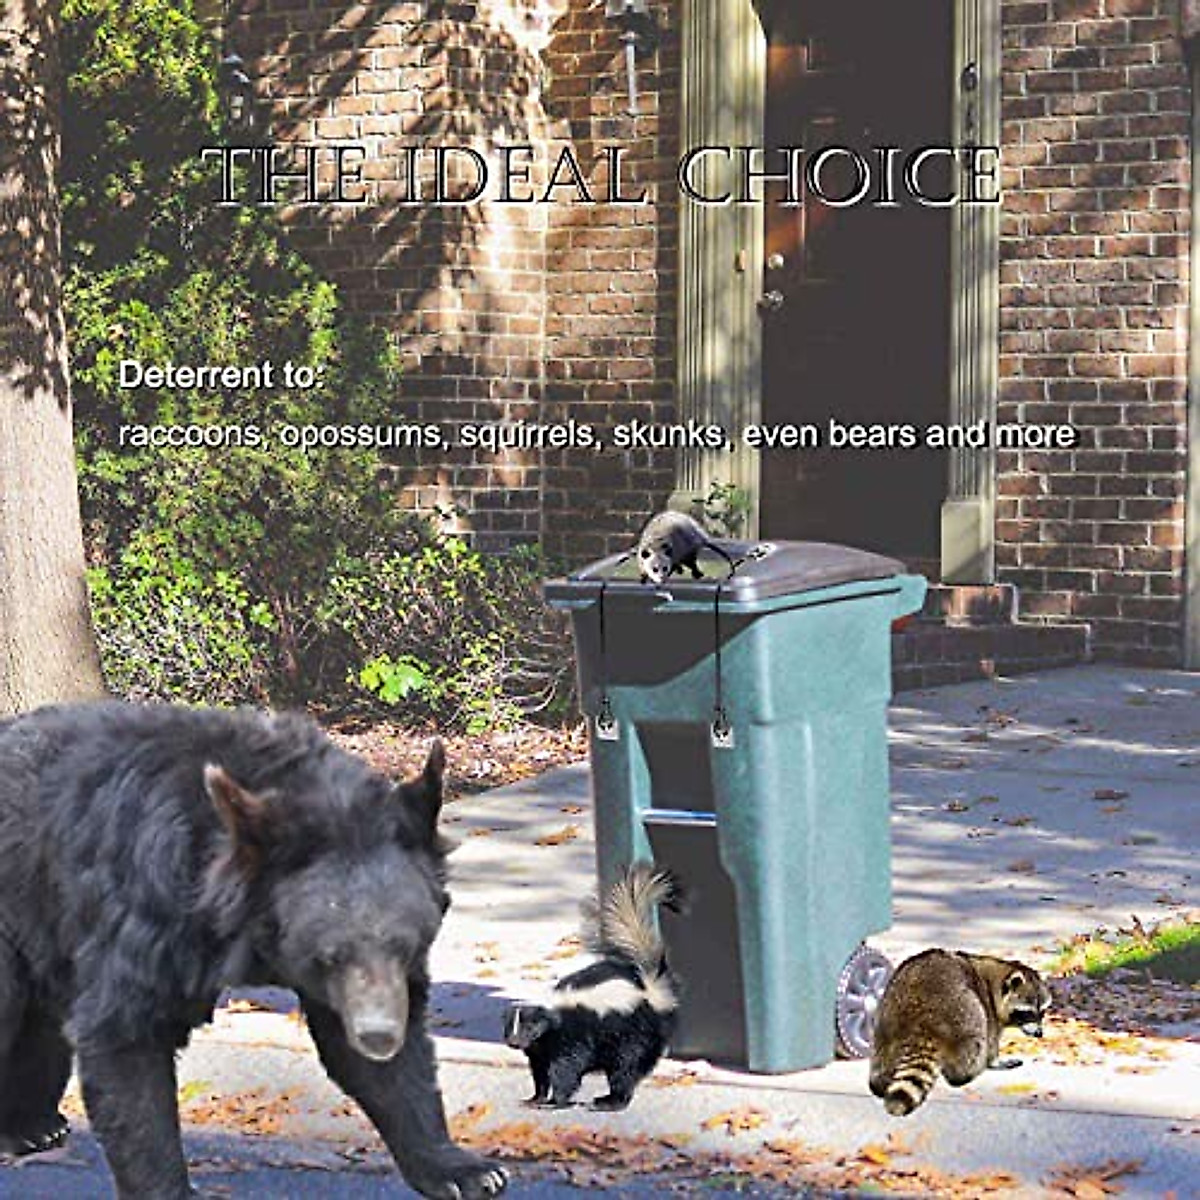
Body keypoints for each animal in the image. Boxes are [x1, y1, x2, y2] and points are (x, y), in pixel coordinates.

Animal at [868, 949, 1051, 1116]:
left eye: (1042, 1012)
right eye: (1027, 1013)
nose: (1039, 1033)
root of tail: (920, 1018)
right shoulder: (989, 1009)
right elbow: (991, 1037)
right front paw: (994, 1060)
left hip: (887, 1013)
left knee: (882, 1051)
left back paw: (880, 1080)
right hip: (960, 1008)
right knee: (976, 1028)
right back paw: (966, 1074)